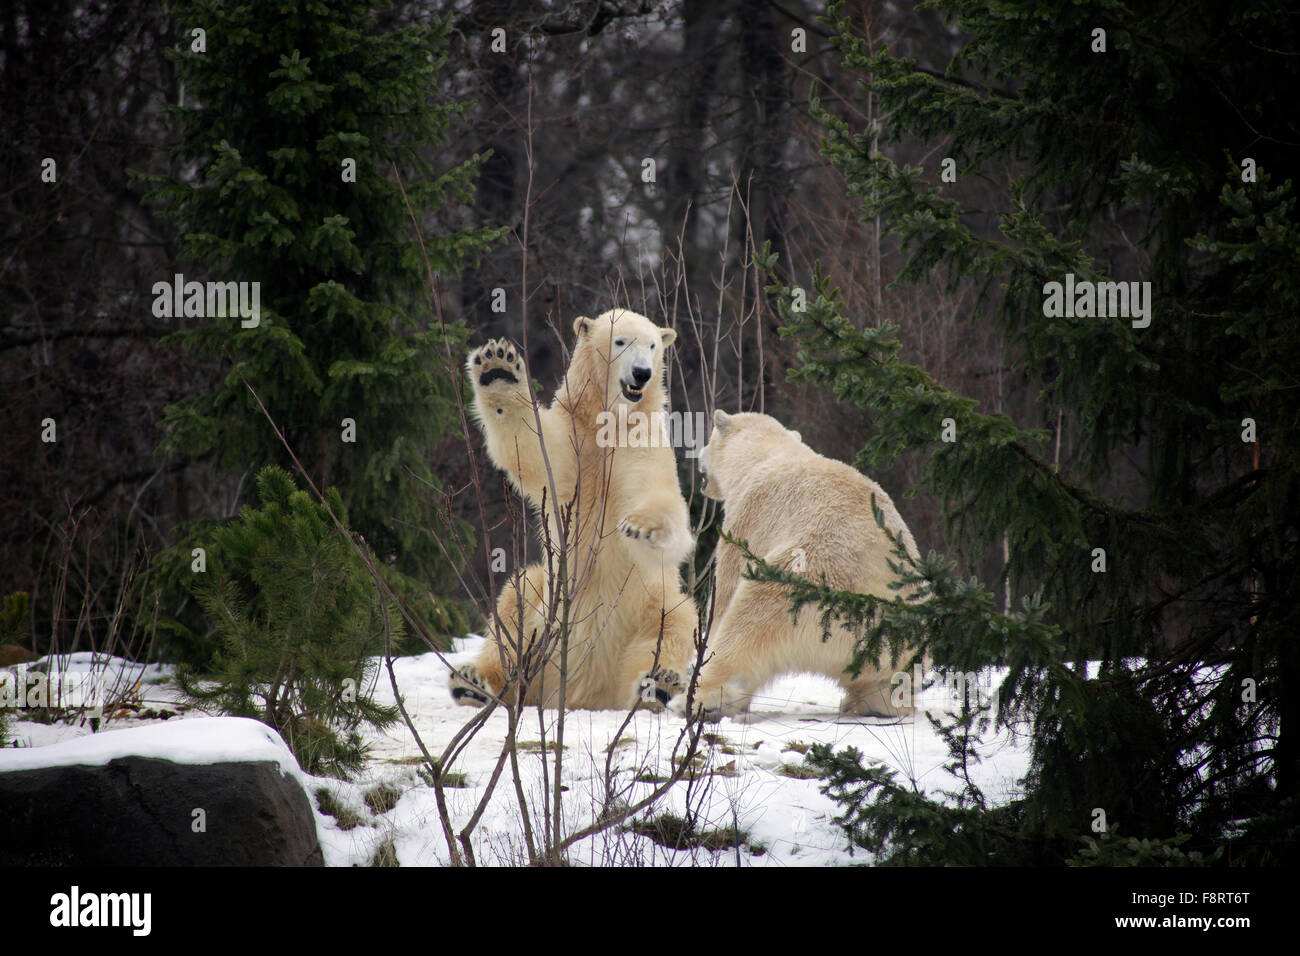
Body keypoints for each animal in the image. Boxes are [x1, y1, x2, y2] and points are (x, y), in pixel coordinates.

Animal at [450, 309, 699, 711]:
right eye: (620, 341)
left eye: (652, 345)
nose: (642, 373)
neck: (609, 421)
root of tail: (582, 690)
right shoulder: (575, 439)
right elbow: (537, 450)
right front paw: (498, 370)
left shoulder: (640, 439)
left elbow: (657, 491)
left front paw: (643, 526)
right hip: (542, 614)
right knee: (515, 603)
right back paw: (474, 681)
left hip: (647, 606)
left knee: (673, 625)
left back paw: (656, 685)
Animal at [668, 410, 921, 721]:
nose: (700, 458)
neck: (763, 455)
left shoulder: (747, 522)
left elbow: (724, 596)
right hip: (903, 649)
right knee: (887, 686)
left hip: (805, 582)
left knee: (750, 617)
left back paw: (695, 700)